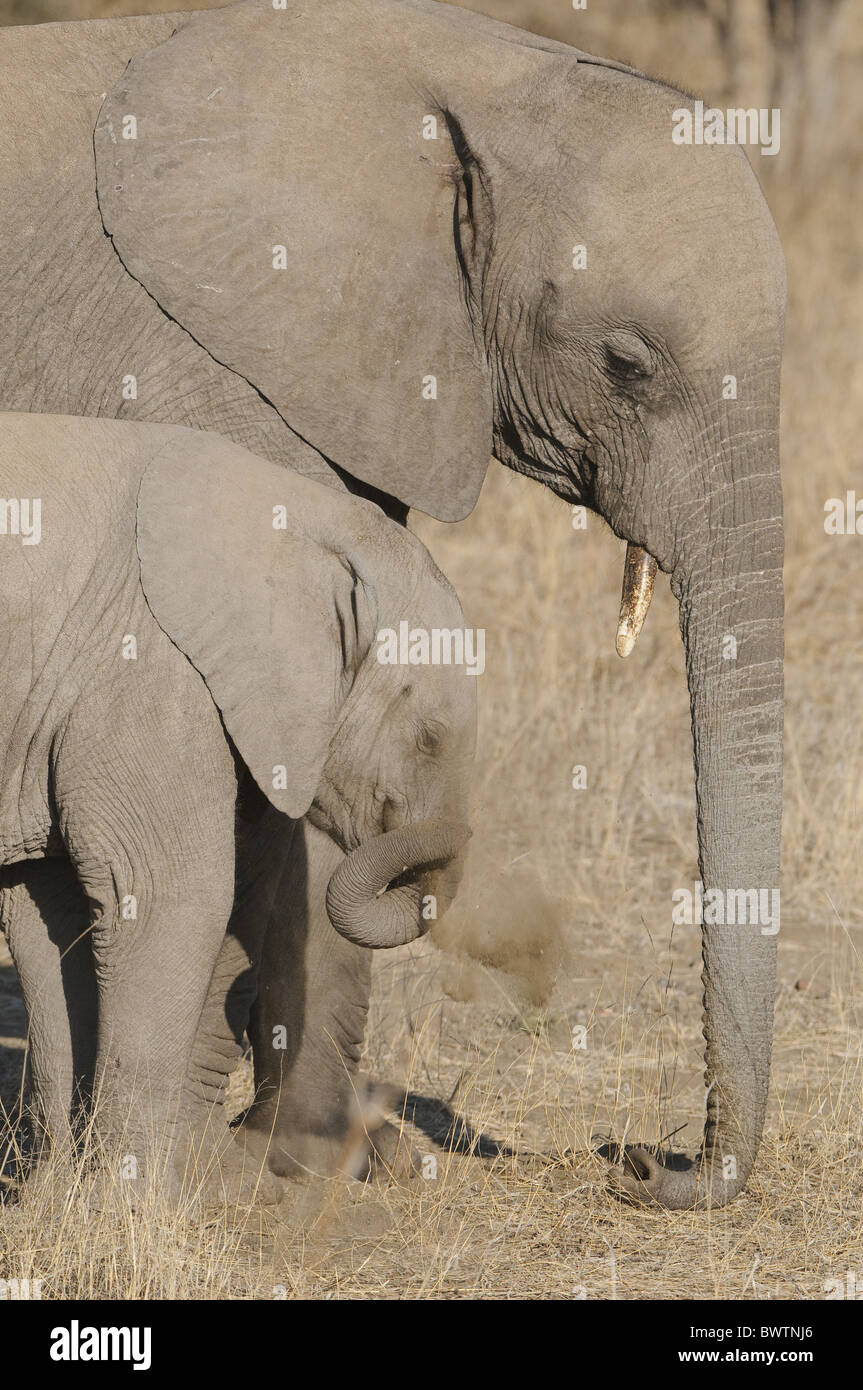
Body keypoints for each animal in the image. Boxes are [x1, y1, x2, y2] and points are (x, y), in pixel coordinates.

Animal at [0, 411, 475, 1194]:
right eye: (430, 737)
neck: (308, 521)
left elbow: (54, 914)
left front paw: (56, 1200)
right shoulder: (148, 669)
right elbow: (167, 894)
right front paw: (137, 1204)